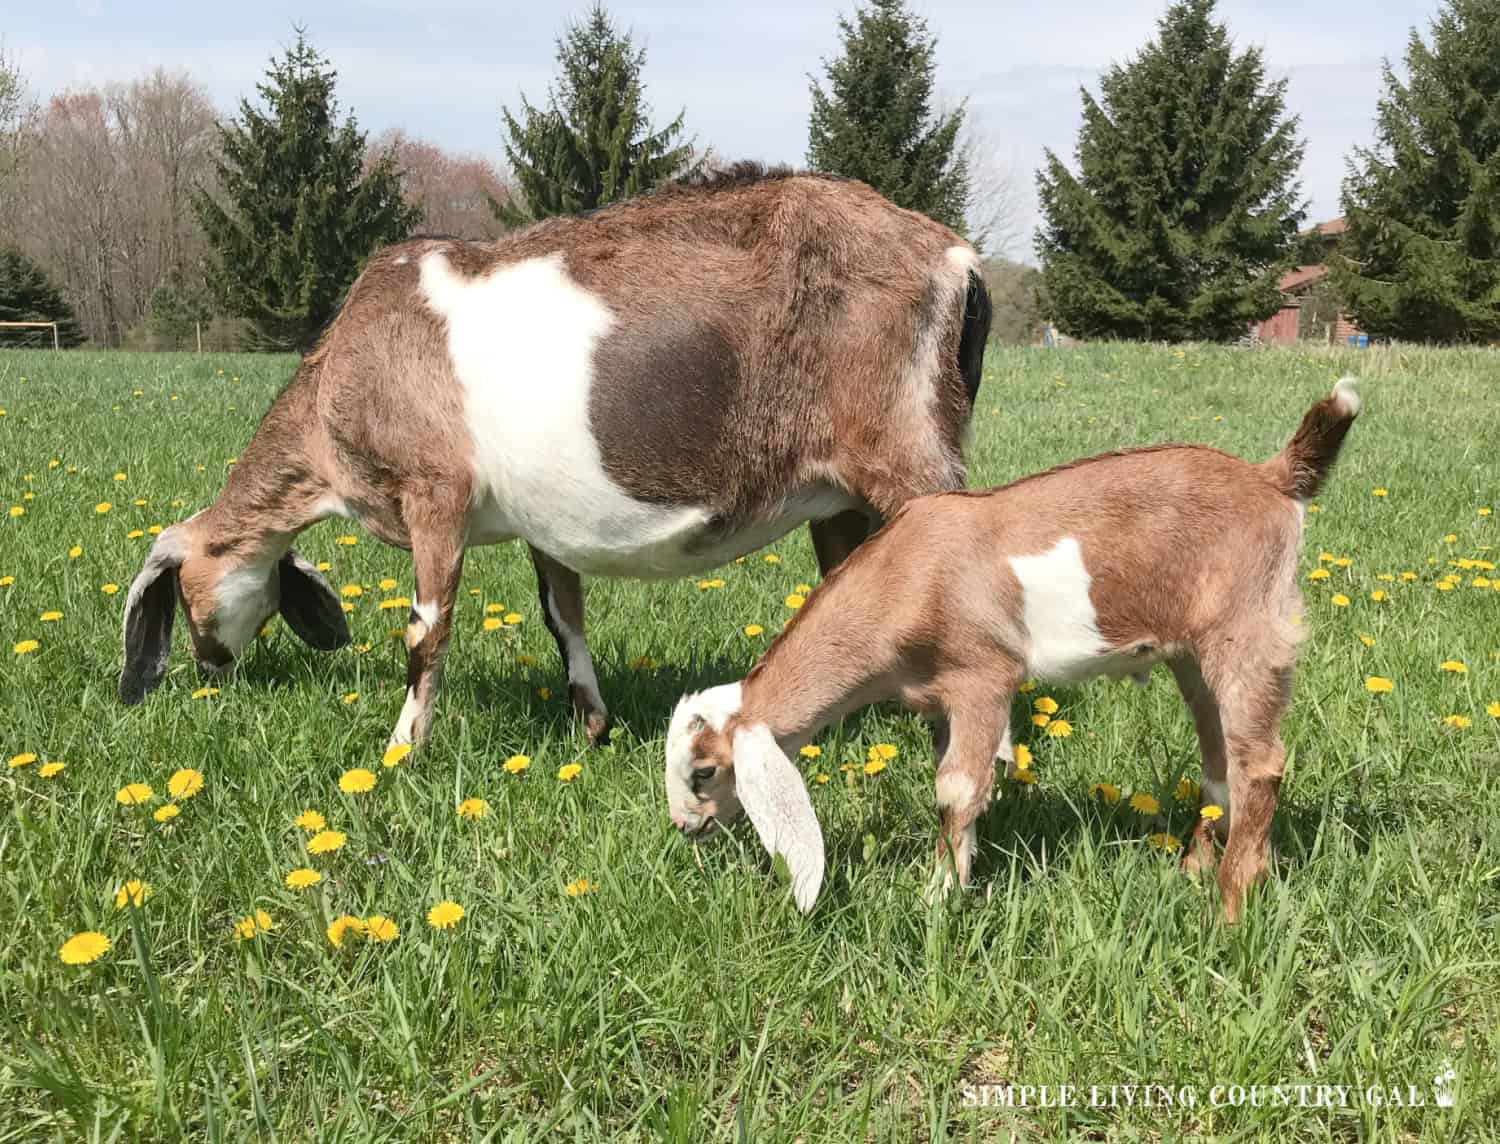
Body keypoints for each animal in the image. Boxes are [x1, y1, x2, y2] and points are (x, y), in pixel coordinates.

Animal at [118, 164, 993, 752]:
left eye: (185, 597)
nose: (209, 668)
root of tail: (958, 258)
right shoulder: (546, 518)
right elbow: (561, 612)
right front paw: (591, 725)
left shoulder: (435, 492)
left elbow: (426, 629)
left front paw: (402, 749)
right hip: (841, 495)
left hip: (909, 455)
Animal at [665, 380, 1362, 920]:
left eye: (706, 771)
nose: (684, 827)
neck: (904, 576)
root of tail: (1273, 479)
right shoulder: (941, 699)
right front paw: (960, 871)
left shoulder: (983, 674)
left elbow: (957, 788)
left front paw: (939, 898)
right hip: (1193, 654)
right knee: (1221, 763)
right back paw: (1197, 871)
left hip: (1248, 629)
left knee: (1261, 763)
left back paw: (1229, 909)